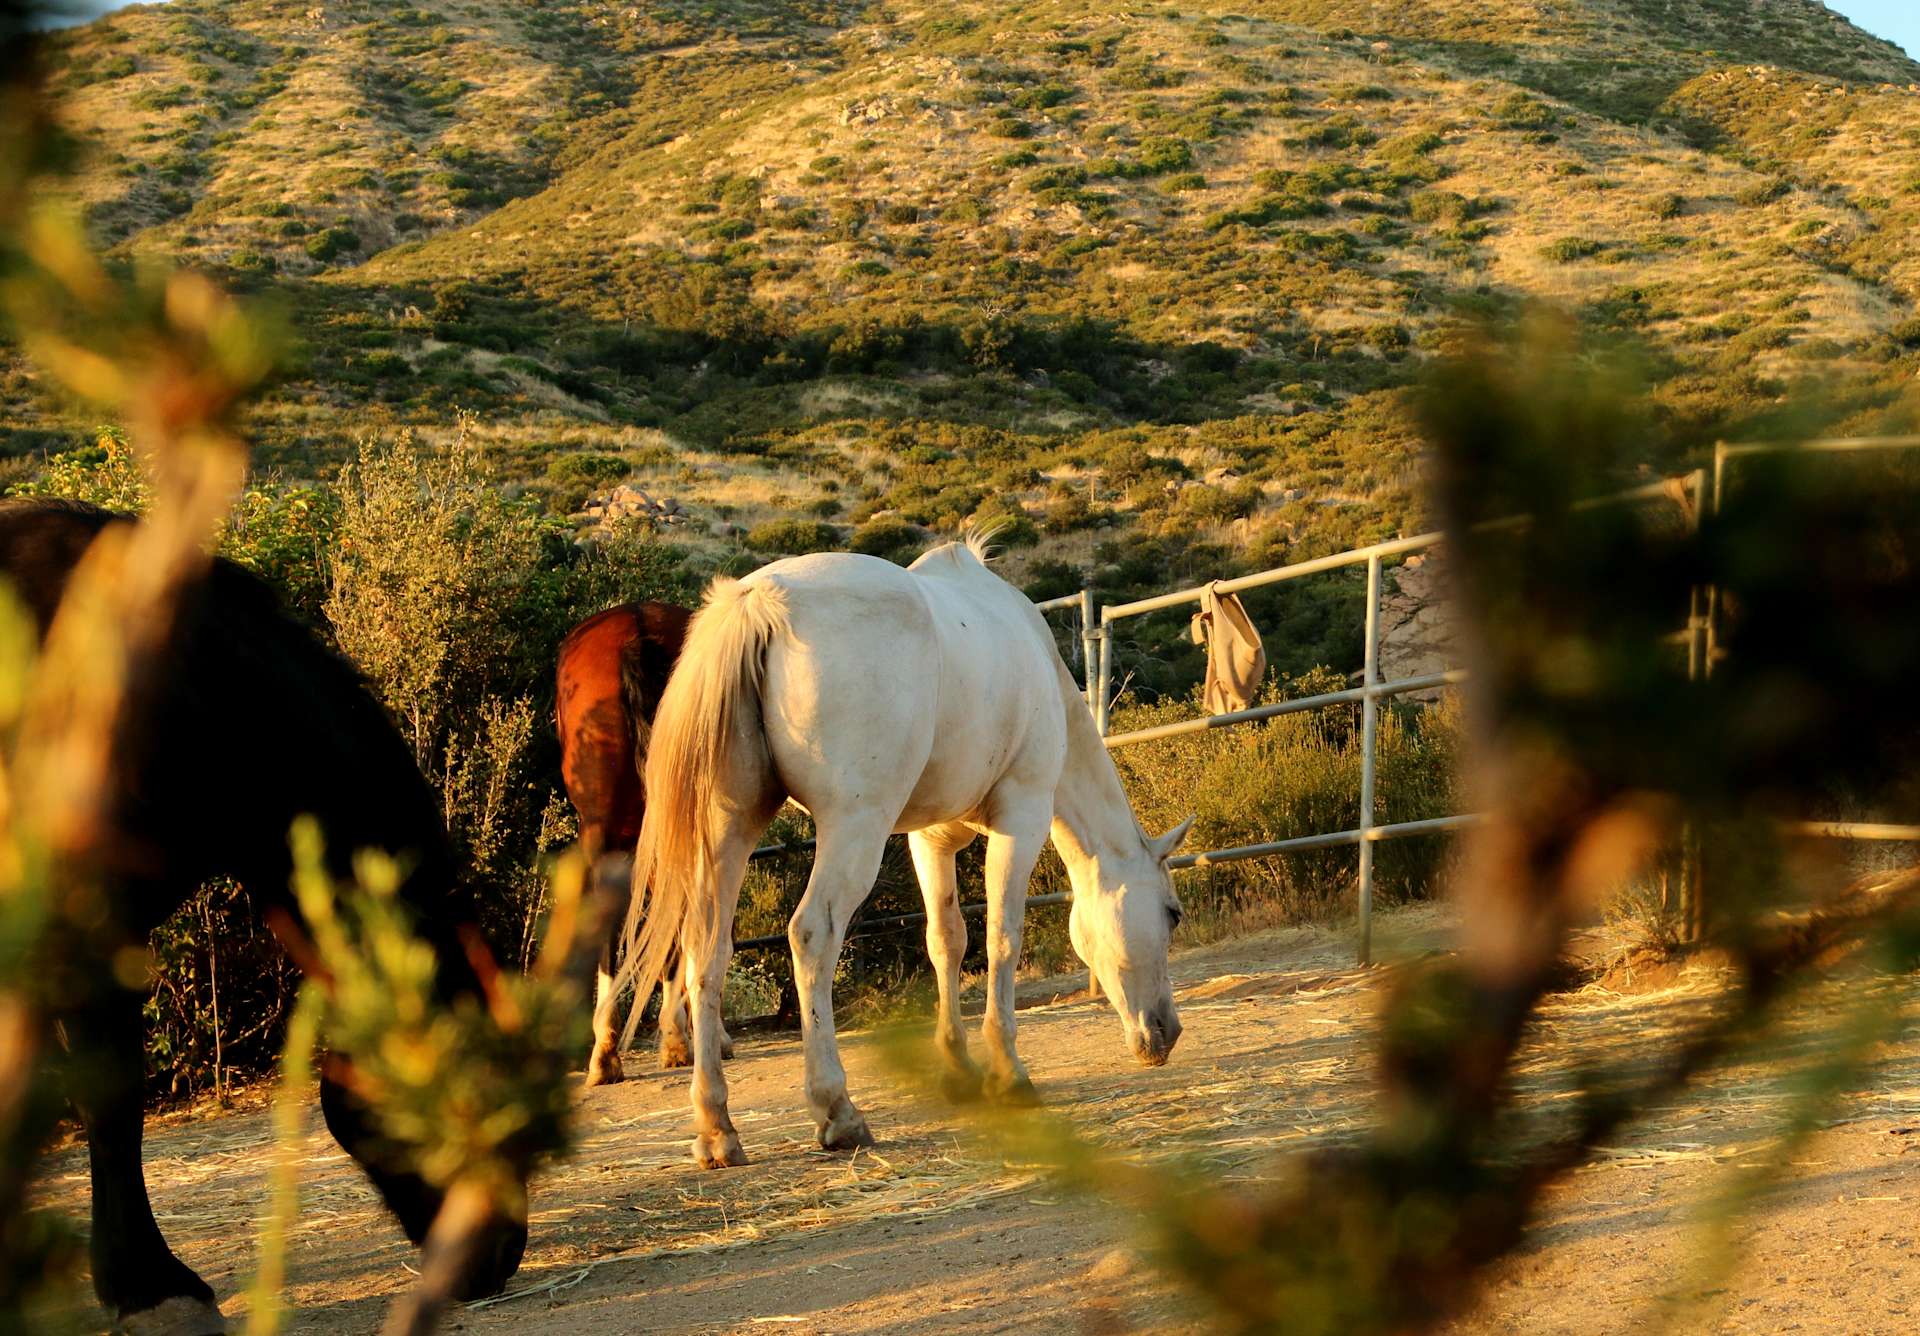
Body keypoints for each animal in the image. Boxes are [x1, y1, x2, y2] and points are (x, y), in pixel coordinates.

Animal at [620, 535, 1193, 1168]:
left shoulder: (929, 838)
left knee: (706, 950)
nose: (1166, 1032)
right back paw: (838, 1110)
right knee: (811, 934)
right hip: (853, 828)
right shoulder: (1021, 816)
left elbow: (946, 940)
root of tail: (759, 602)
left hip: (730, 832)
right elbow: (1002, 936)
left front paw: (959, 1068)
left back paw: (716, 1126)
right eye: (1172, 914)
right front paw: (1008, 1073)